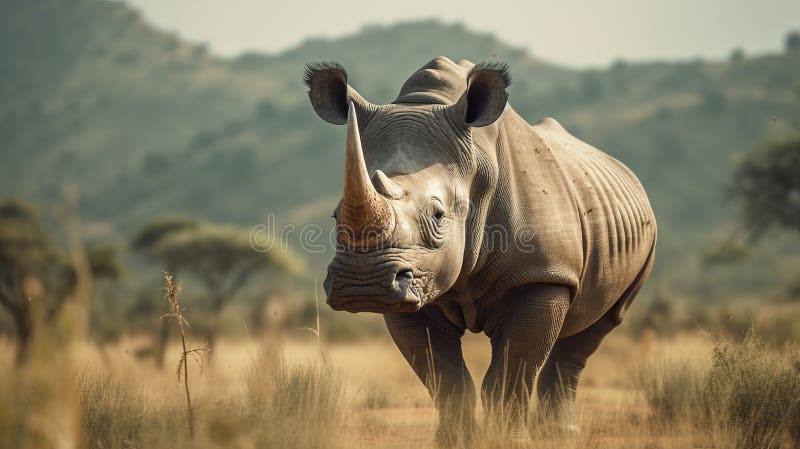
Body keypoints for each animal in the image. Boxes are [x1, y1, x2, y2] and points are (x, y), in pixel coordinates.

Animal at [306, 56, 656, 445]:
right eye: (335, 215)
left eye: (438, 215)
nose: (363, 285)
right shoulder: (412, 287)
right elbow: (445, 377)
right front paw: (453, 442)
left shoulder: (541, 275)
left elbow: (511, 373)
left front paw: (511, 442)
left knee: (600, 324)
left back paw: (561, 435)